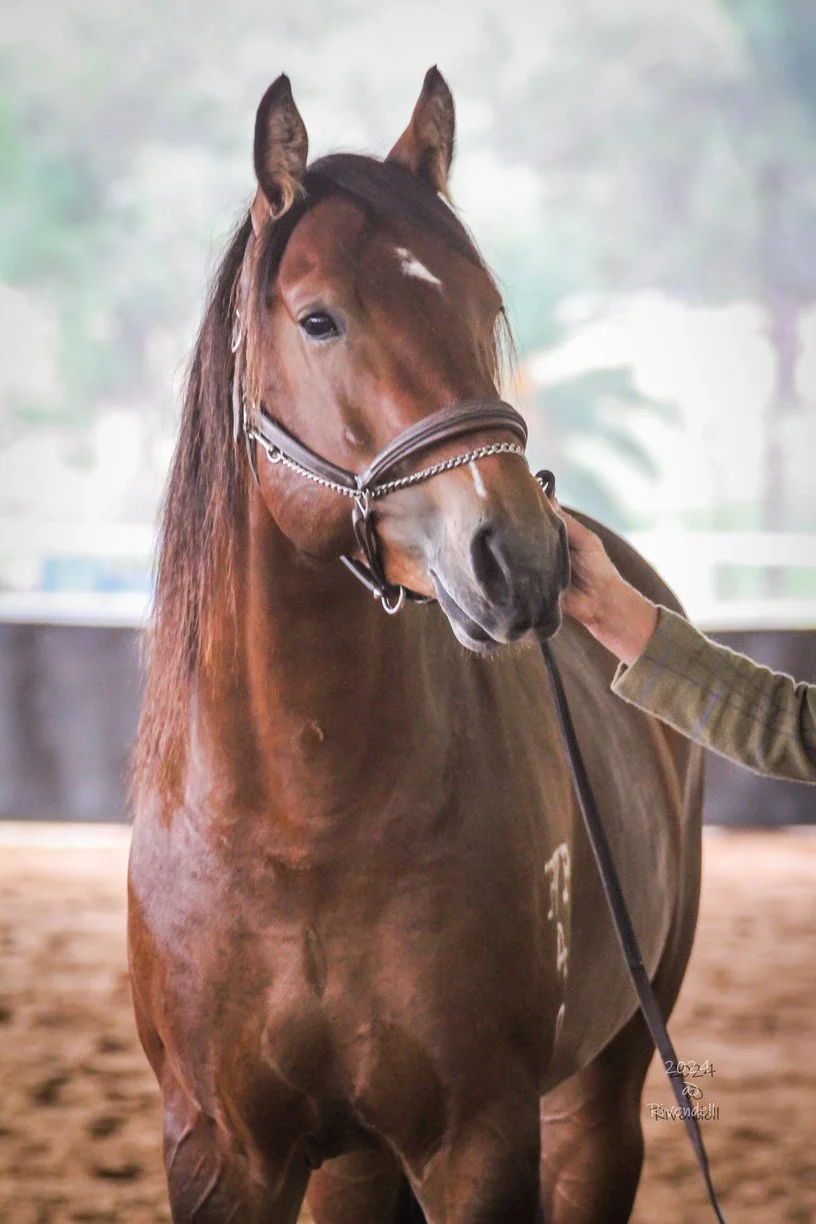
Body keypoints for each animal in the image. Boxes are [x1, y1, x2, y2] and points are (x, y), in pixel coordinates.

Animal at [129, 67, 703, 1224]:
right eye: (319, 319)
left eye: (485, 310)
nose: (521, 559)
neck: (300, 827)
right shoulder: (220, 1152)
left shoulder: (479, 1138)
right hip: (354, 1159)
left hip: (606, 1089)